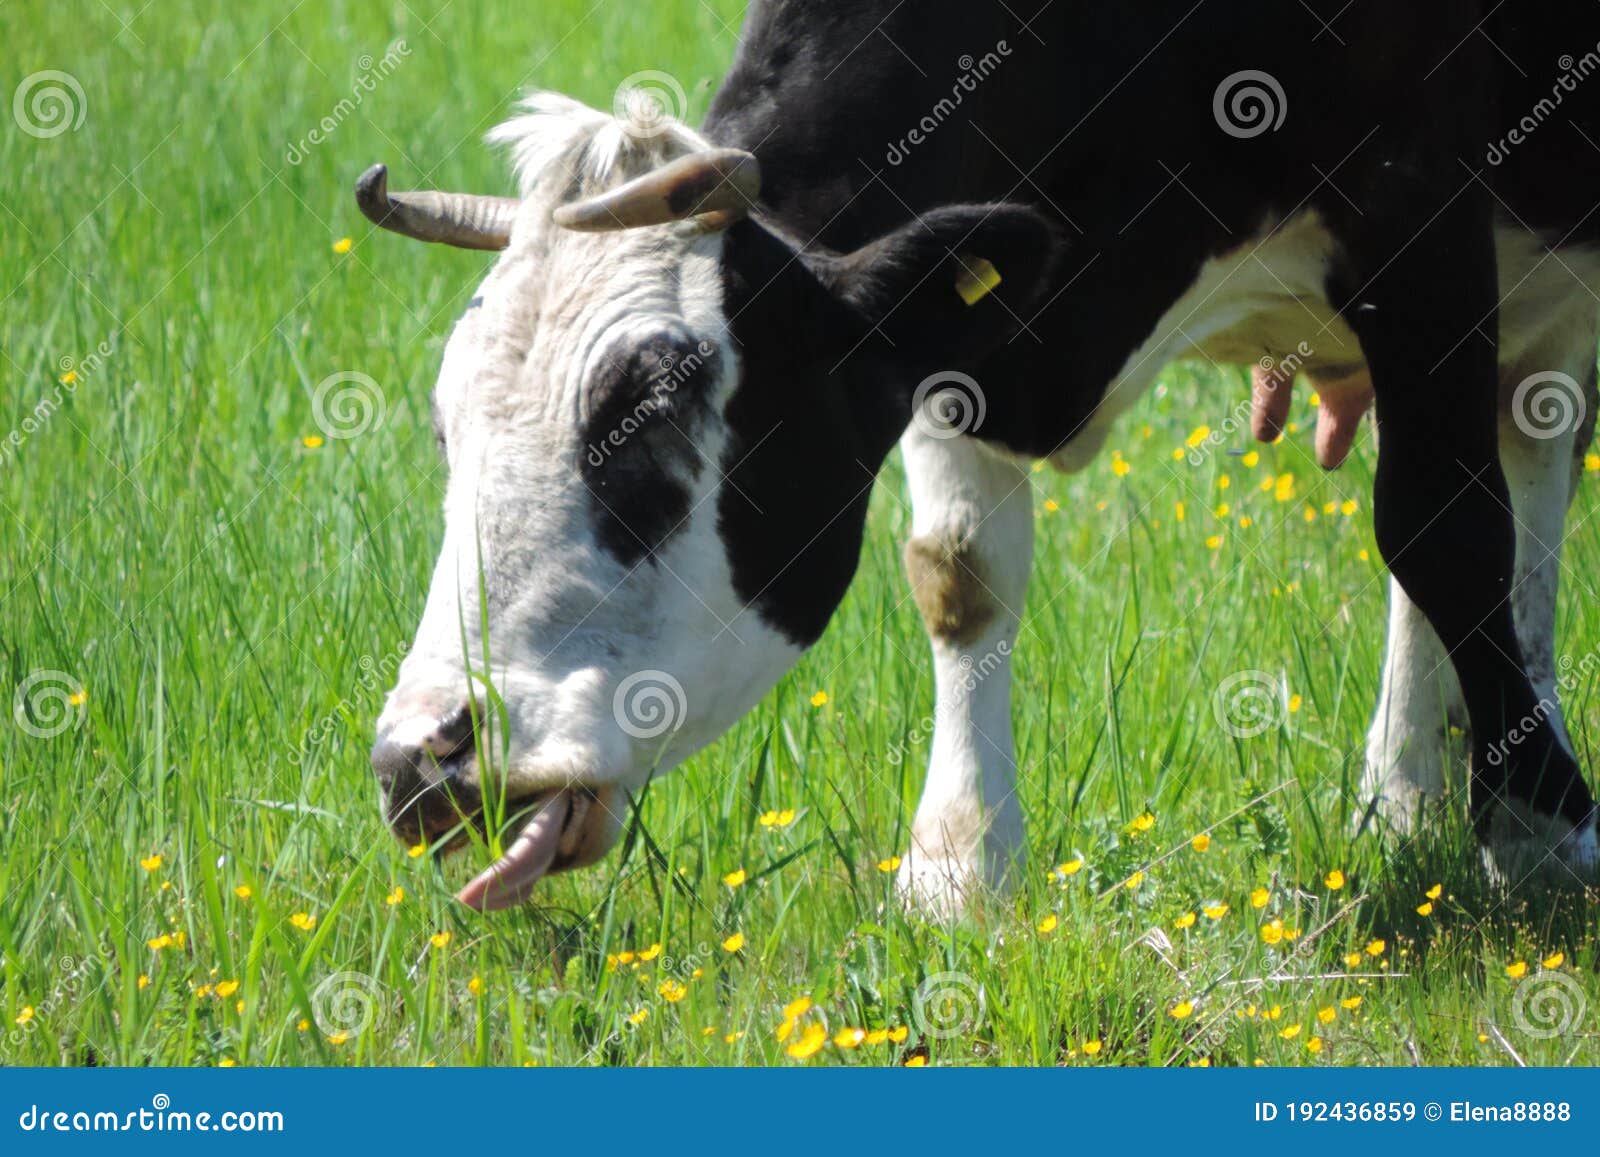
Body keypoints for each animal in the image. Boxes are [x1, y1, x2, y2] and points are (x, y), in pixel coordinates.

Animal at [361, 0, 1600, 916]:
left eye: (653, 413)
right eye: (446, 429)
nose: (419, 756)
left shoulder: (1419, 204)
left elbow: (1444, 530)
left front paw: (1540, 824)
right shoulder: (948, 346)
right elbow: (960, 573)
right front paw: (956, 867)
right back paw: (1406, 794)